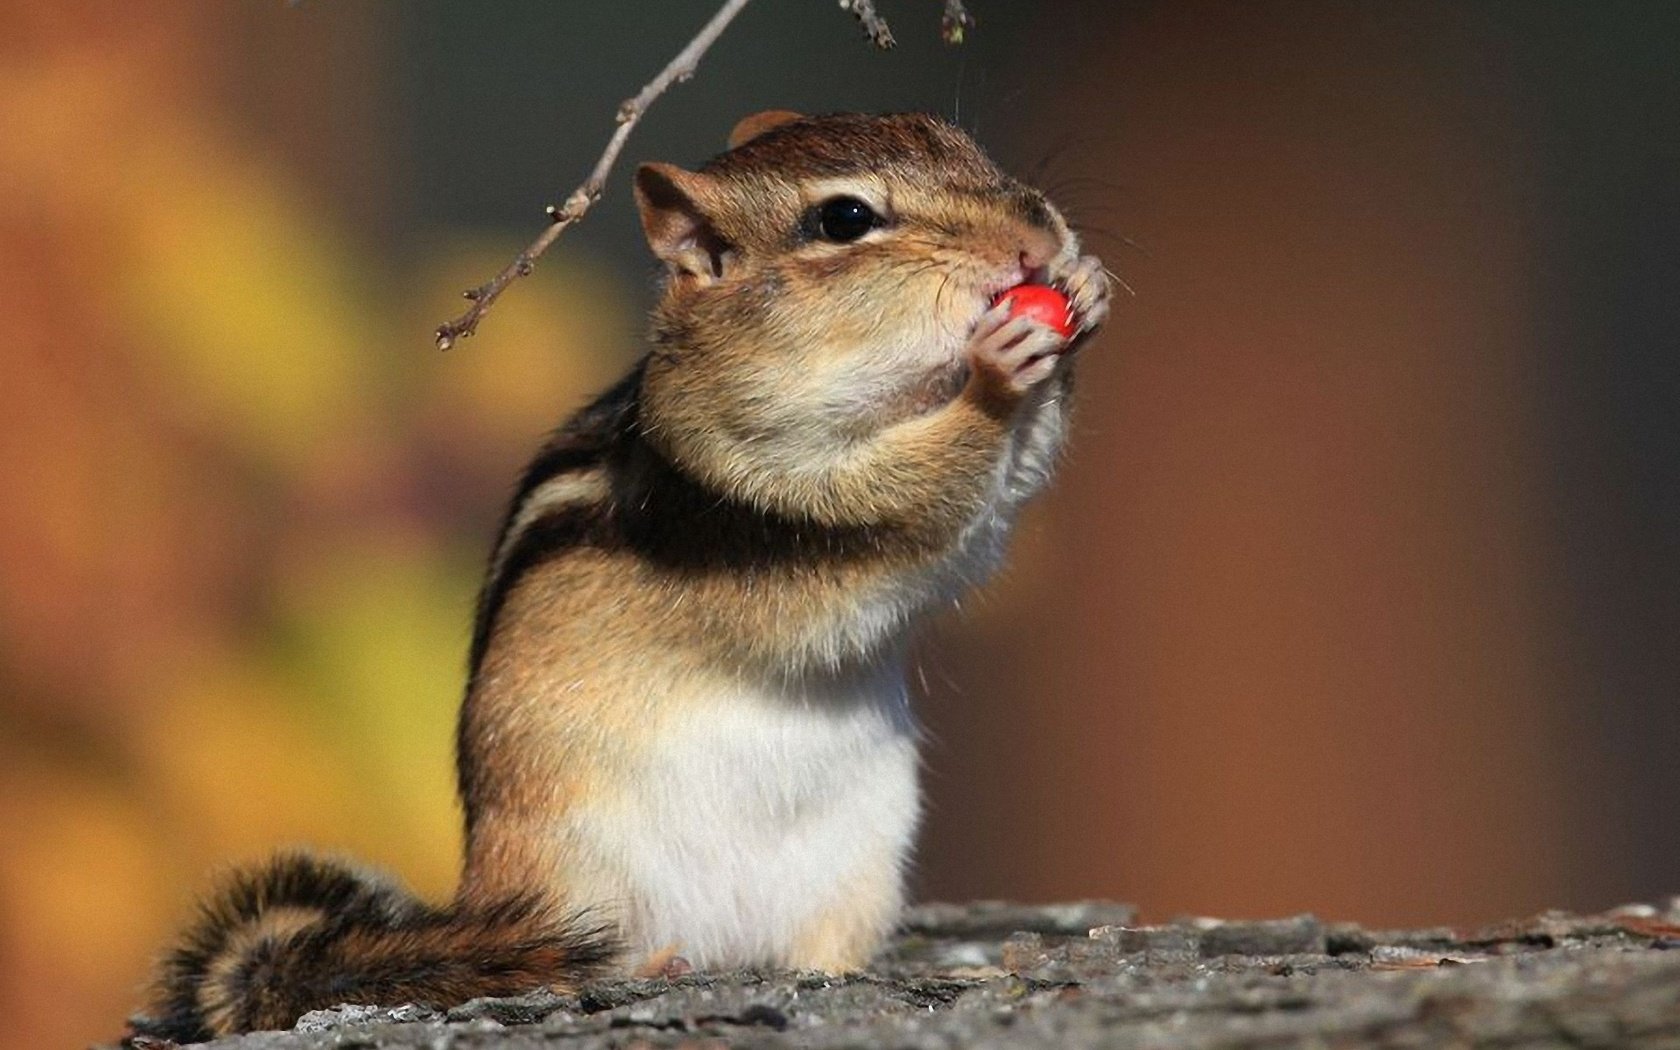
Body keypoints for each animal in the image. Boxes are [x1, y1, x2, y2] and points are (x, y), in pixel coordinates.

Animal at [138, 110, 1111, 1040]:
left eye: (960, 142)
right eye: (844, 220)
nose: (1036, 237)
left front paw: (1086, 285)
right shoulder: (777, 507)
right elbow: (926, 502)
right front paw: (996, 376)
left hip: (861, 859)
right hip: (578, 873)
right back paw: (651, 964)